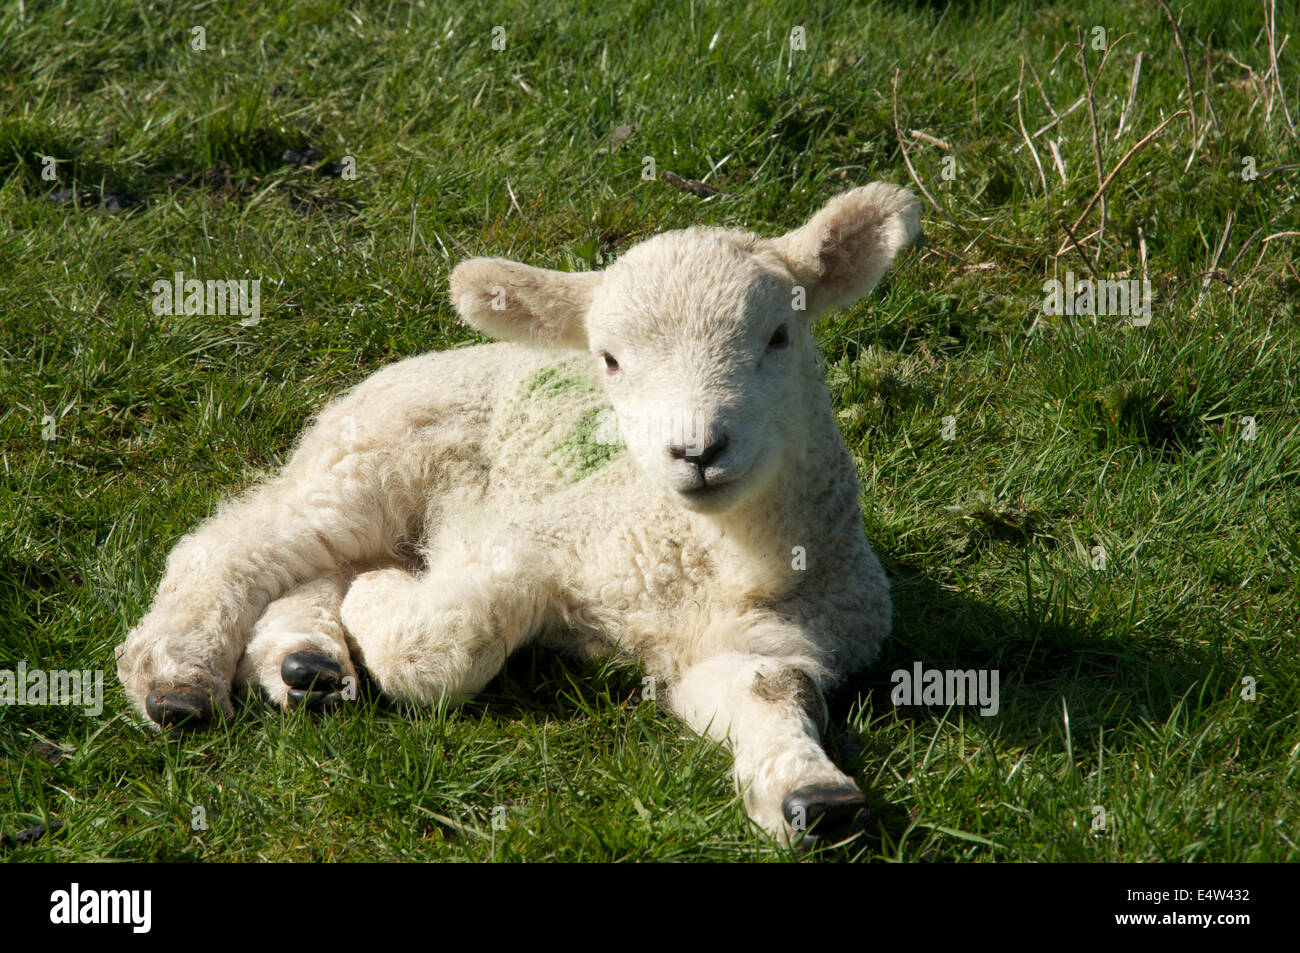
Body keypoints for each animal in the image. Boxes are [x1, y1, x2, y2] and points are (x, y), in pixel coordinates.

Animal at [116, 182, 923, 843]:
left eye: (780, 336)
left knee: (318, 563)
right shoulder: (540, 538)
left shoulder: (767, 635)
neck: (718, 559)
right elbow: (443, 647)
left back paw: (304, 660)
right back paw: (181, 676)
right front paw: (383, 602)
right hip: (371, 459)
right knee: (237, 544)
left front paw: (811, 793)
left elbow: (769, 691)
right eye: (610, 360)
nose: (697, 449)